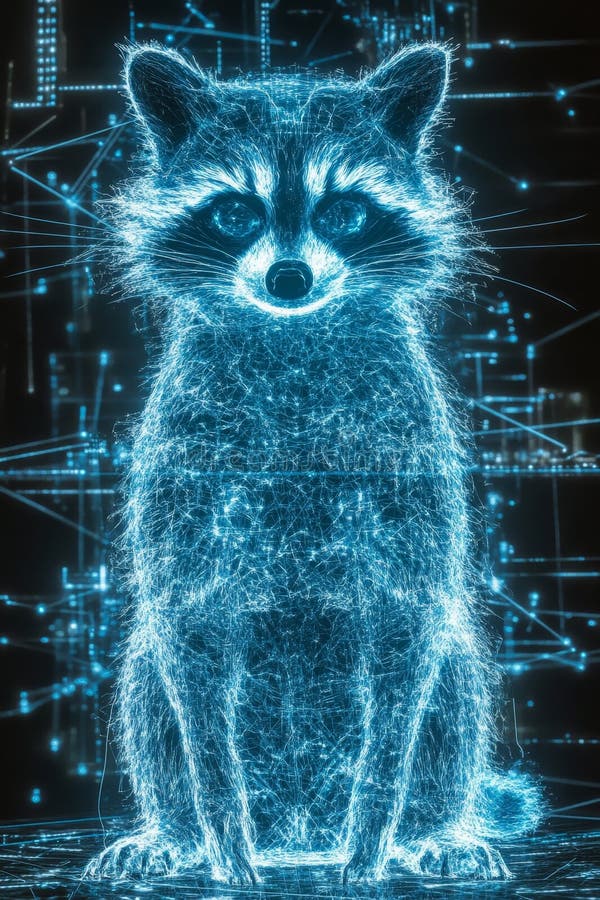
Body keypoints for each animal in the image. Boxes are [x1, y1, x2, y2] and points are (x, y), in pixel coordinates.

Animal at [86, 43, 541, 884]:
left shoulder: (403, 467)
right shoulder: (186, 473)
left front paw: (373, 840)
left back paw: (427, 827)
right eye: (236, 211)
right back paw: (176, 830)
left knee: (450, 688)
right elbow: (192, 650)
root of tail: (298, 834)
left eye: (344, 211)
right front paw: (221, 838)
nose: (288, 279)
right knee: (151, 689)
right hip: (149, 673)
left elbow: (404, 638)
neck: (293, 343)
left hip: (451, 672)